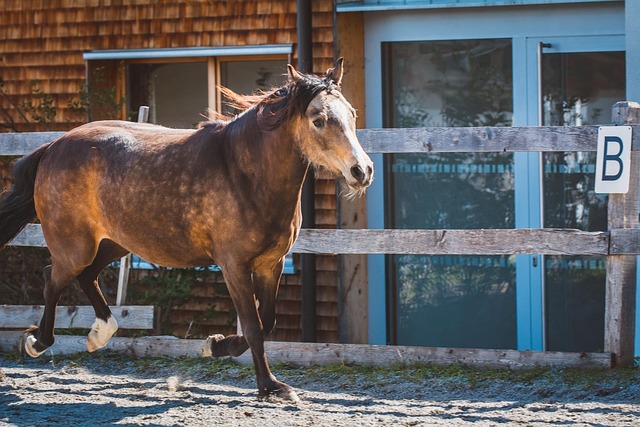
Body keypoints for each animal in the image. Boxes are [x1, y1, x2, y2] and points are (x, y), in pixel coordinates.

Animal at [0, 58, 373, 402]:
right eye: (318, 119)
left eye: (352, 114)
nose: (362, 171)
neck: (246, 173)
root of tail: (52, 147)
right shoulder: (234, 265)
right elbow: (254, 326)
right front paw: (271, 387)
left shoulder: (272, 263)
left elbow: (267, 322)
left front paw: (217, 346)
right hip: (76, 245)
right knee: (53, 278)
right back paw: (36, 342)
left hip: (116, 241)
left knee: (85, 275)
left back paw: (98, 335)